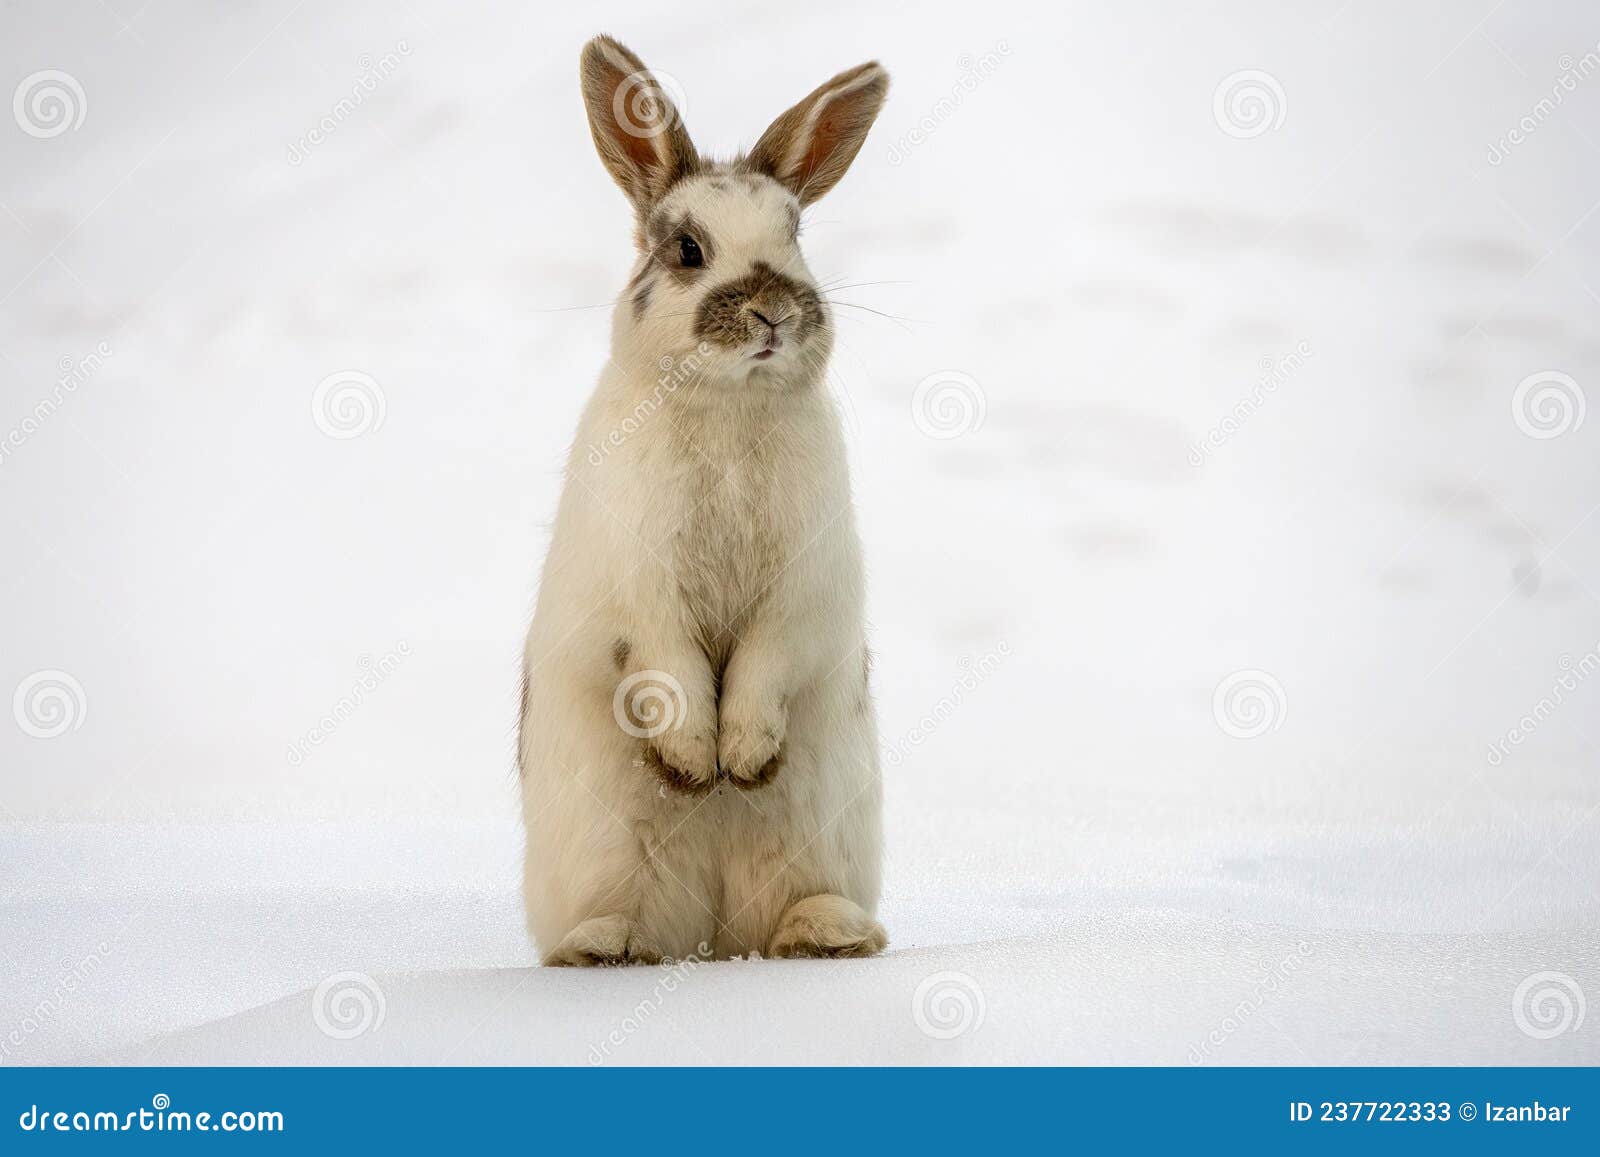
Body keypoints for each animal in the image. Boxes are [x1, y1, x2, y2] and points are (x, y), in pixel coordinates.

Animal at [517, 35, 890, 966]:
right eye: (687, 249)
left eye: (796, 237)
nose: (771, 311)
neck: (729, 409)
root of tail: (718, 941)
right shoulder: (637, 591)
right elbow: (671, 670)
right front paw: (695, 766)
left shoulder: (805, 591)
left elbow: (764, 665)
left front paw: (743, 762)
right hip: (600, 853)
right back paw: (605, 947)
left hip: (825, 836)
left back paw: (828, 933)